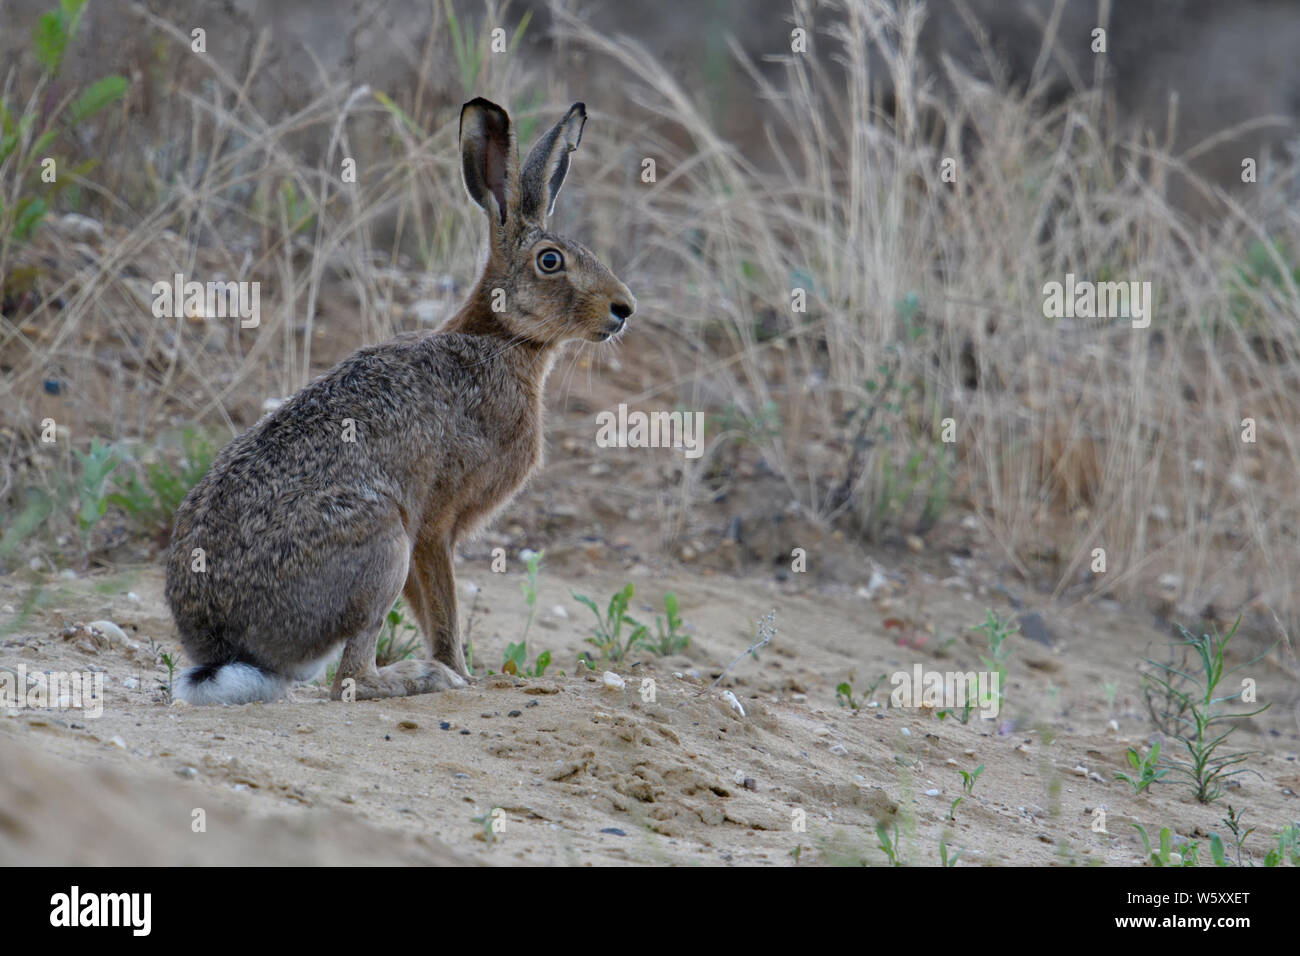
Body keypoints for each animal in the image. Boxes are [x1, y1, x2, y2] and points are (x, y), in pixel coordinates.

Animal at [164, 97, 635, 705]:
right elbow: (445, 612)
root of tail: (223, 646)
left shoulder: (425, 542)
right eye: (550, 261)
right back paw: (424, 678)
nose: (623, 308)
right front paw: (461, 674)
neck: (502, 338)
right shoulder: (433, 525)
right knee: (350, 677)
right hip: (383, 541)